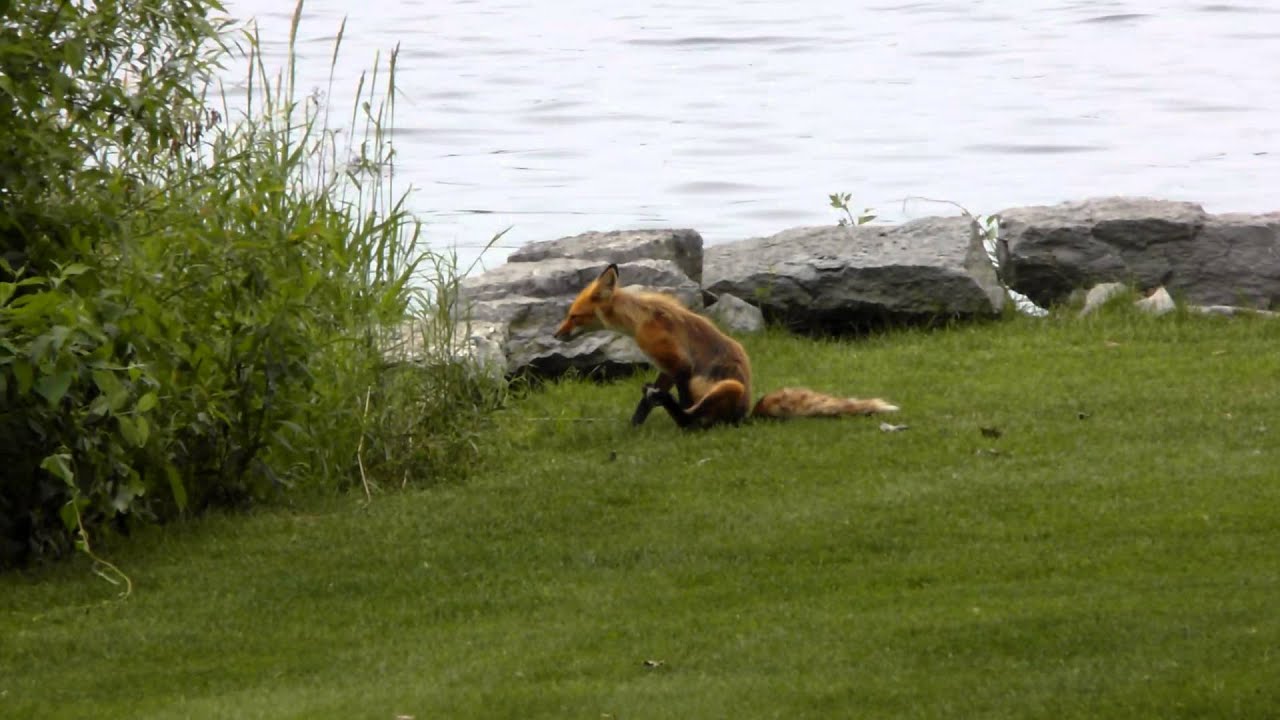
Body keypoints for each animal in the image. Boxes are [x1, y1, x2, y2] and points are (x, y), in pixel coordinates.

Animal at [553, 263, 899, 429]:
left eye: (574, 316)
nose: (557, 334)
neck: (639, 320)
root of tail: (746, 415)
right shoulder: (664, 366)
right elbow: (645, 403)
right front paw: (634, 426)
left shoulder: (679, 364)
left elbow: (684, 399)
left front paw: (679, 416)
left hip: (730, 387)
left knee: (691, 417)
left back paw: (686, 419)